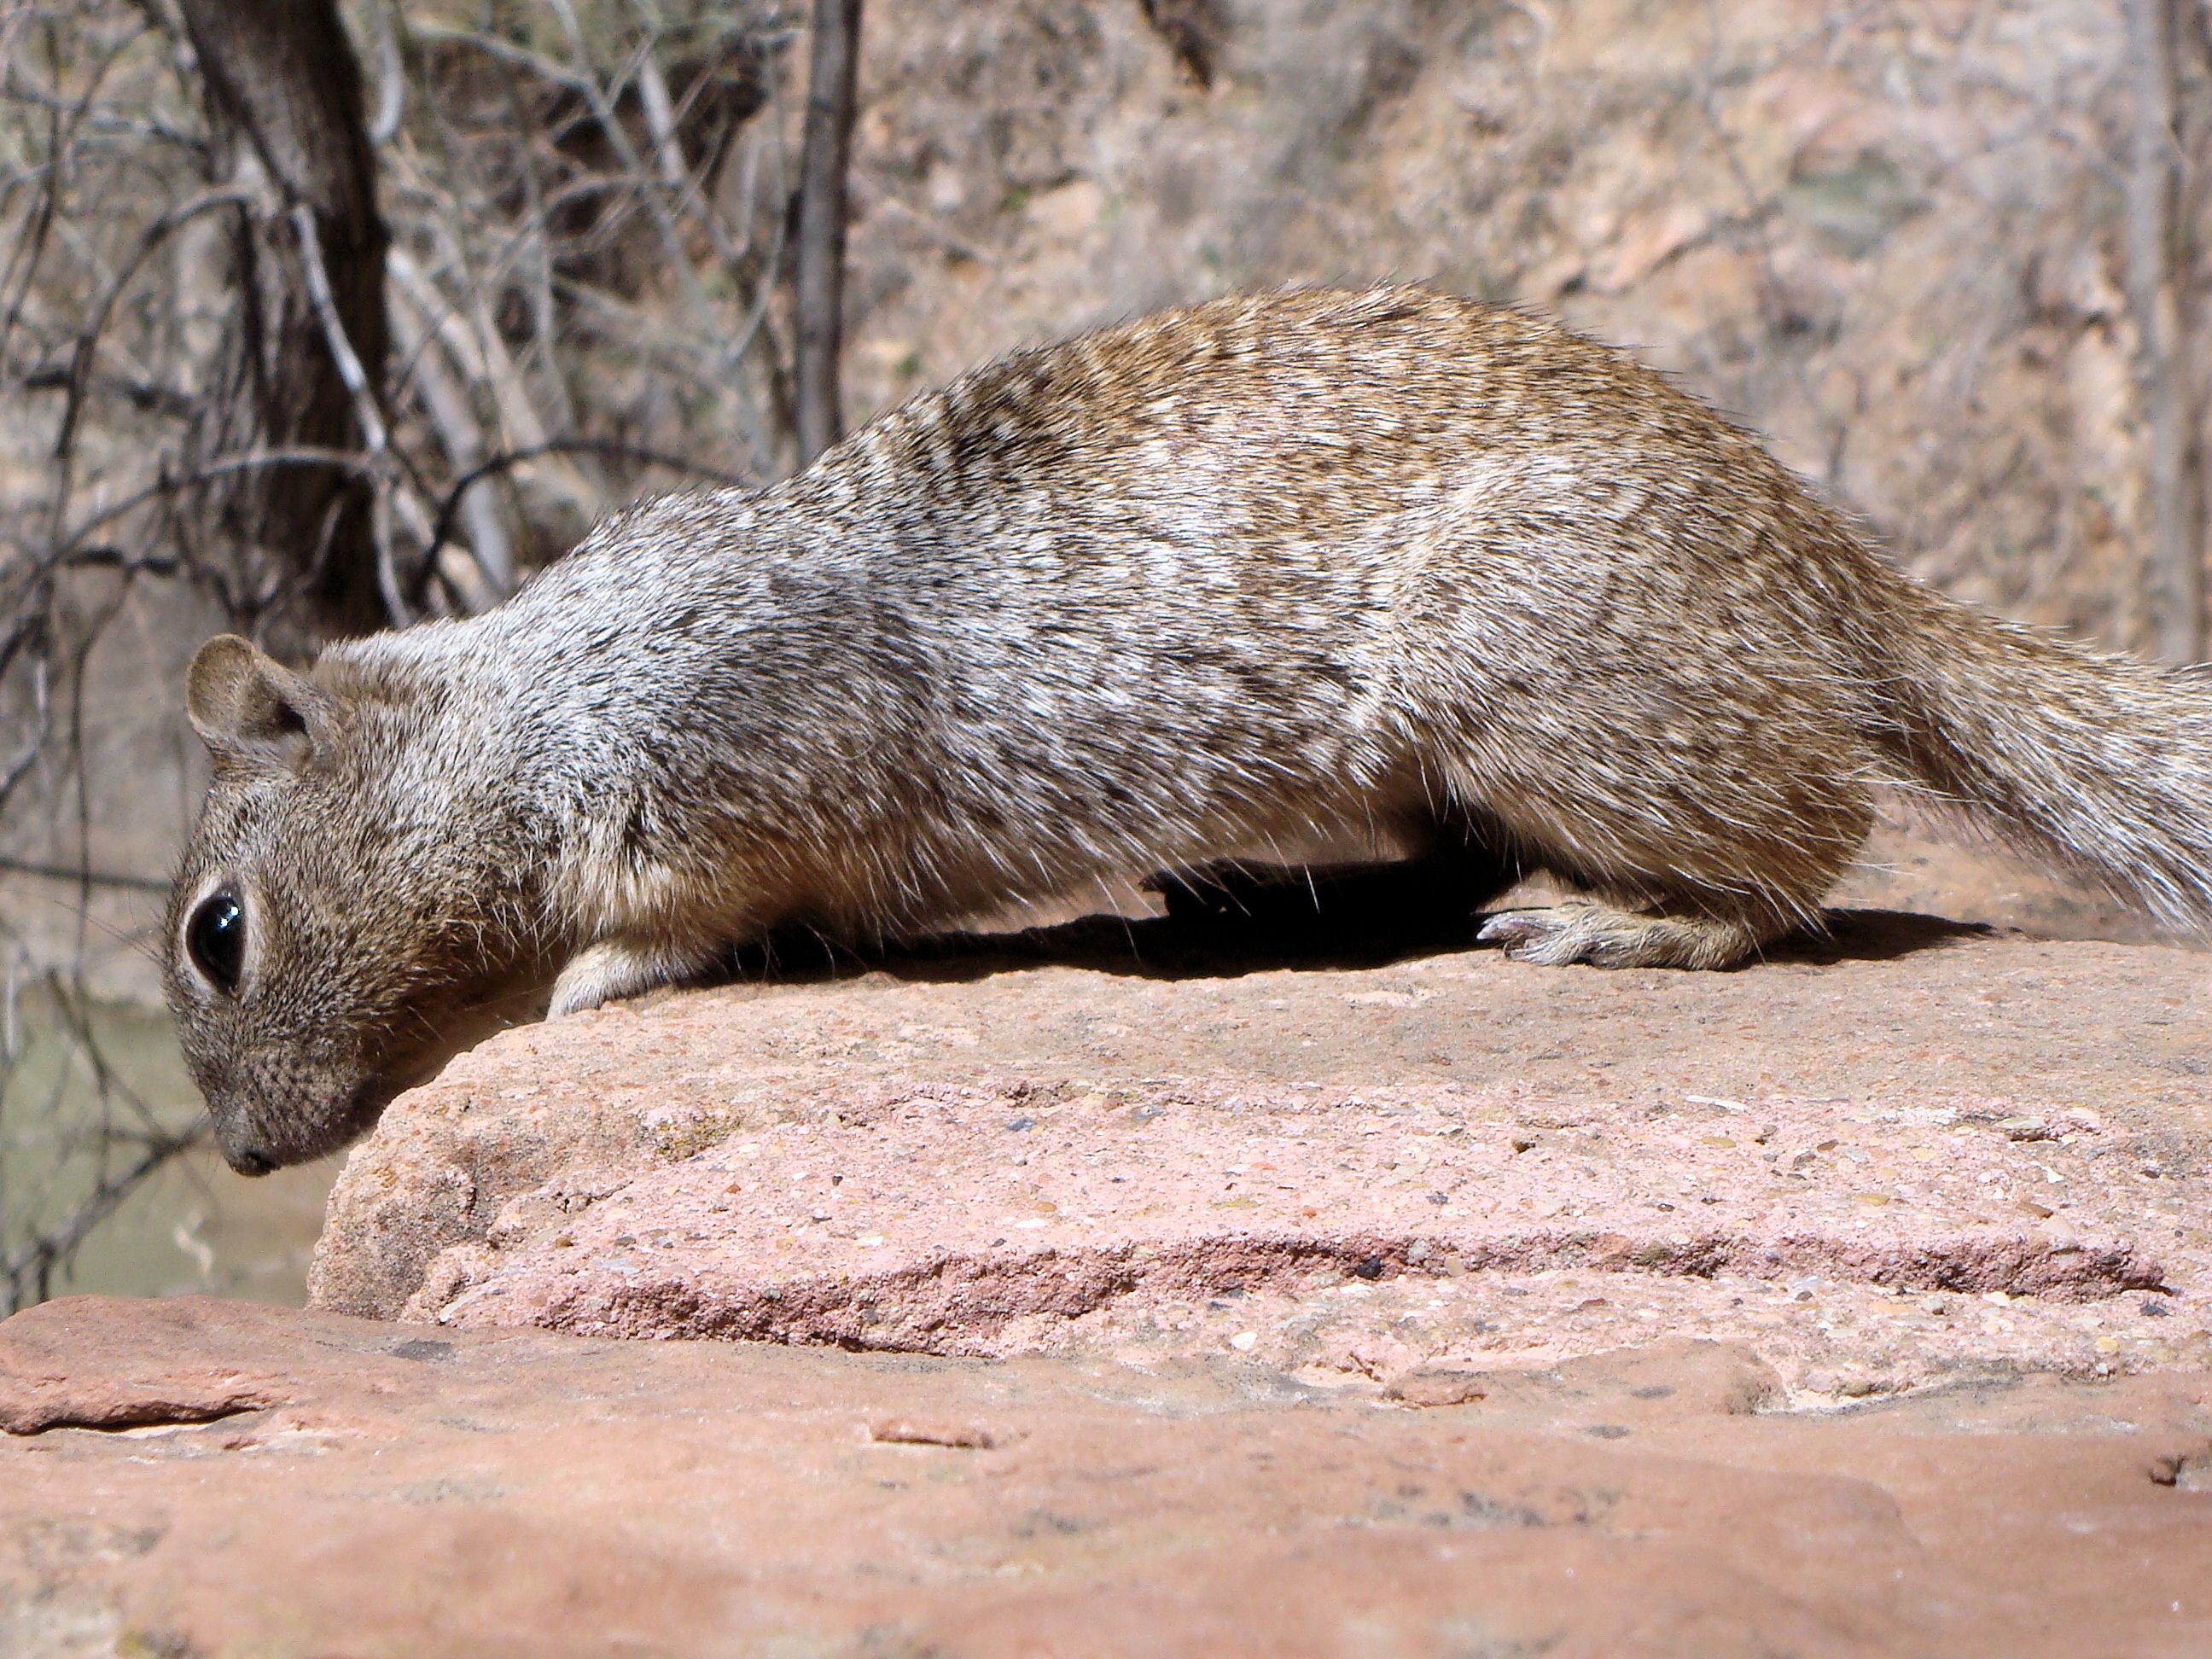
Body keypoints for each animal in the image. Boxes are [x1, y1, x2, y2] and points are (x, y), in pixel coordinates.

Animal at [165, 285, 2212, 1173]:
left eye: (216, 933)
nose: (253, 1165)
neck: (522, 704)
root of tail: (1835, 568)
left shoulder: (741, 739)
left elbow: (699, 903)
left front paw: (597, 976)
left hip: (1545, 679)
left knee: (1805, 840)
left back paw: (1620, 918)